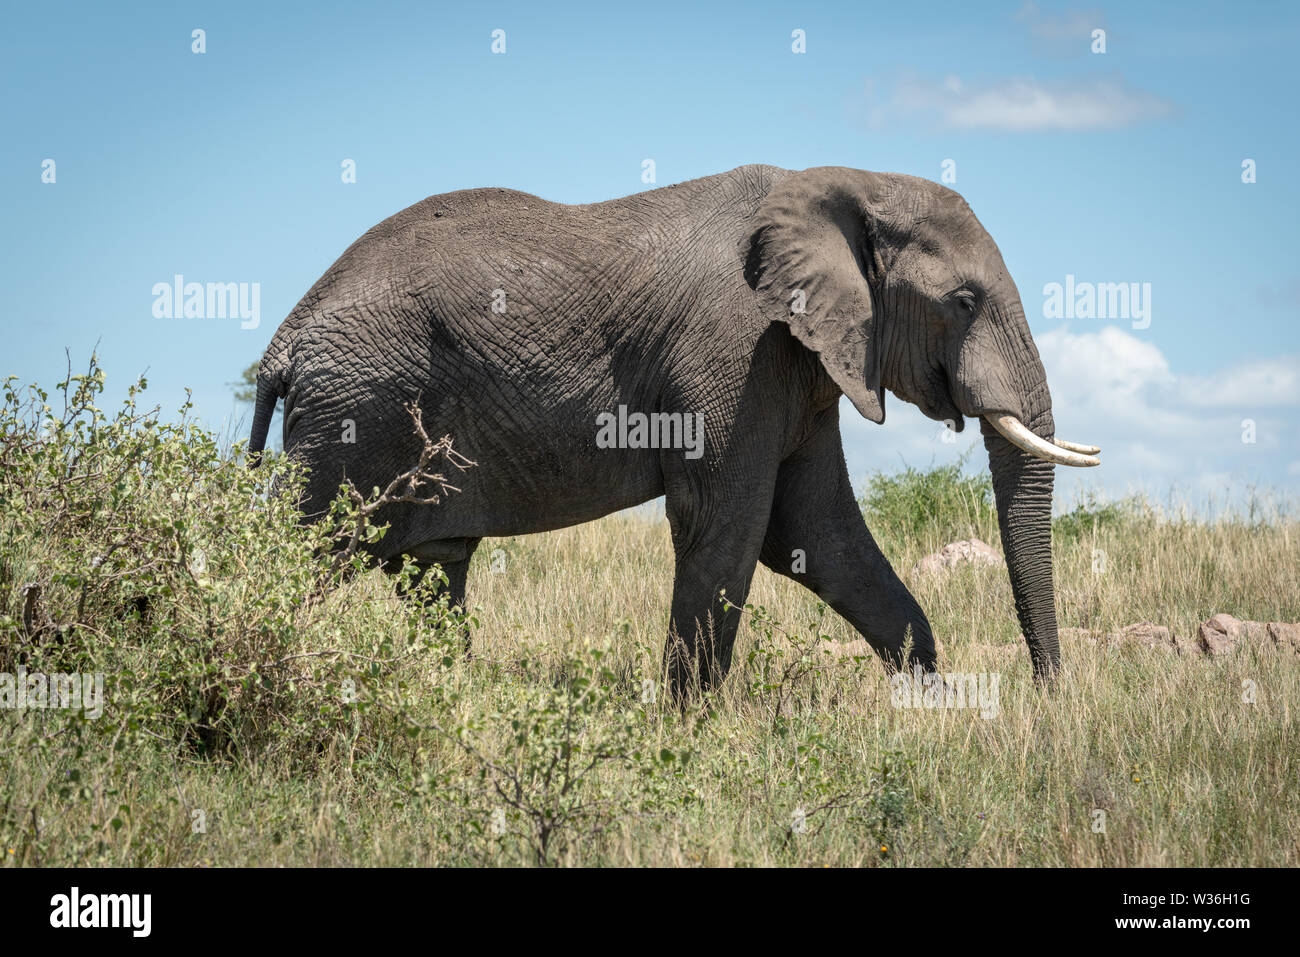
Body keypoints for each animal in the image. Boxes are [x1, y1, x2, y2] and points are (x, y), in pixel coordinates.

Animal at [249, 164, 1099, 696]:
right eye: (963, 302)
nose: (1048, 695)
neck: (846, 183)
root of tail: (288, 334)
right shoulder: (737, 352)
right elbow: (731, 527)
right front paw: (690, 730)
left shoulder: (799, 365)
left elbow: (815, 534)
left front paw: (935, 707)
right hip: (355, 413)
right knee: (304, 554)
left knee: (433, 573)